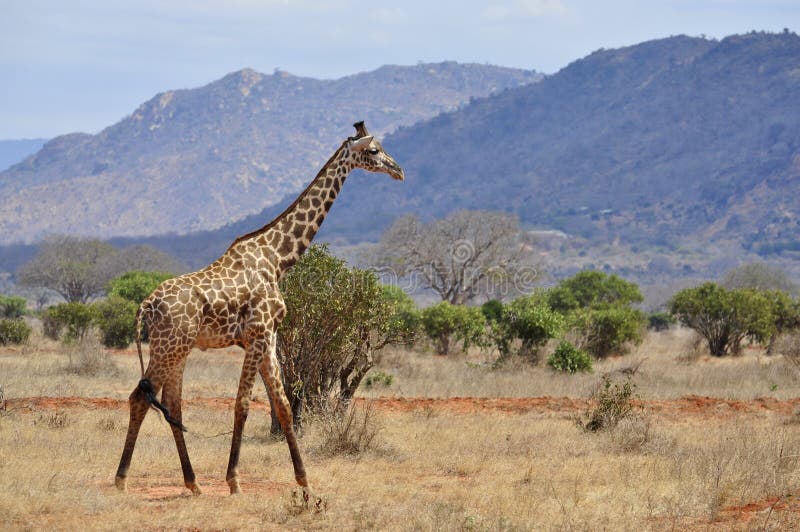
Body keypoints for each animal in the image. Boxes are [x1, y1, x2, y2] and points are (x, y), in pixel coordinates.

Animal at [114, 121, 403, 501]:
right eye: (373, 151)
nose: (398, 171)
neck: (277, 258)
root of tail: (146, 304)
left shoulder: (269, 338)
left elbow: (282, 405)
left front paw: (305, 482)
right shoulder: (256, 334)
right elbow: (243, 404)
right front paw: (234, 481)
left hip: (178, 347)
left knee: (171, 404)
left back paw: (193, 483)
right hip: (169, 346)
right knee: (140, 397)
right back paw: (121, 479)